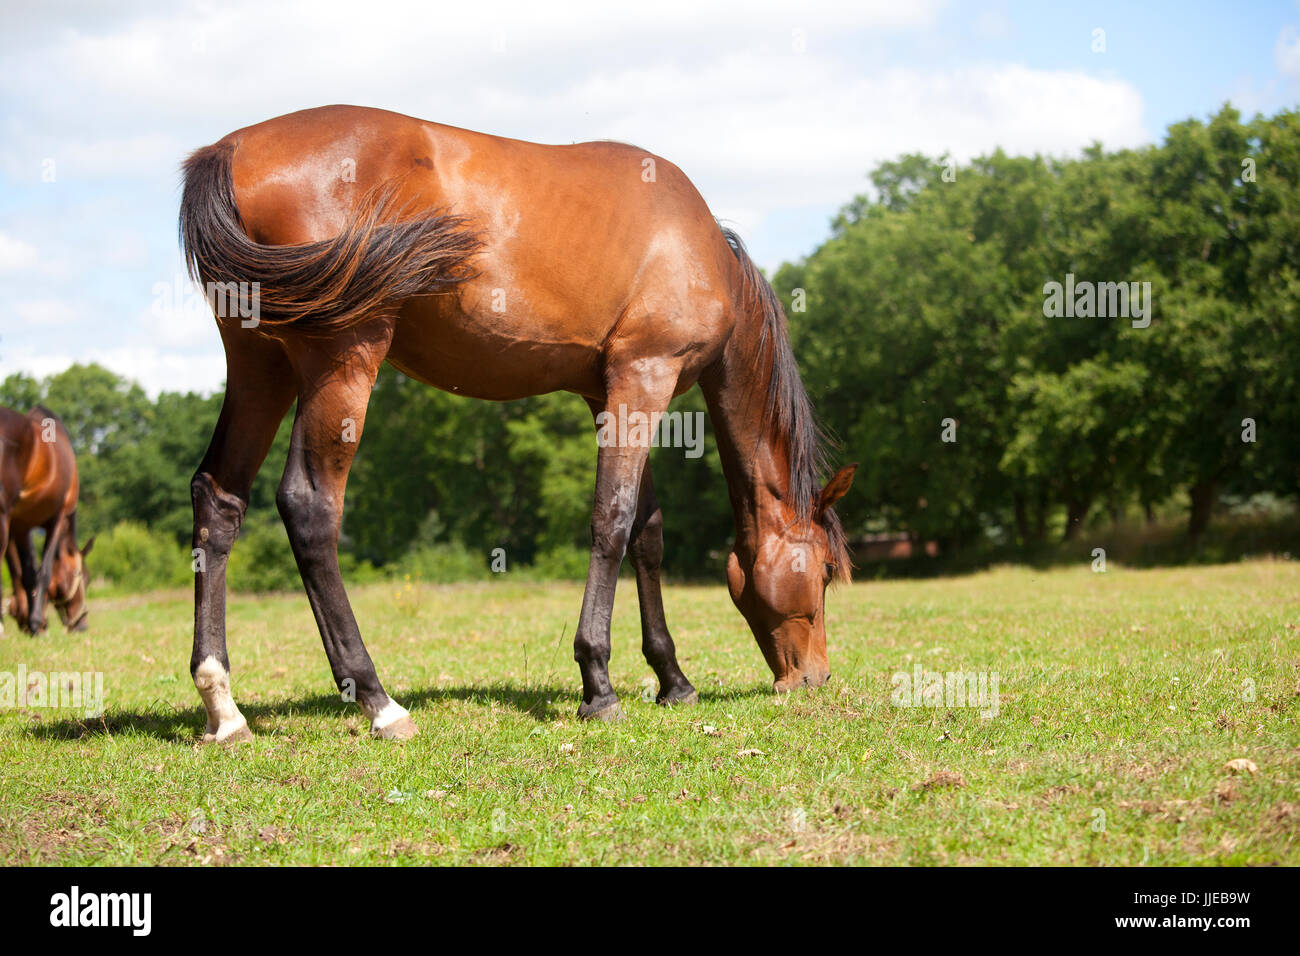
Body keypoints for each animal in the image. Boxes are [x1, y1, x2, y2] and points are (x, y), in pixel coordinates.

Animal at [0, 405, 93, 635]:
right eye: (85, 578)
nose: (82, 625)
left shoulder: (21, 525)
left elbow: (27, 574)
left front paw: (34, 623)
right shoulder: (59, 517)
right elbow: (44, 570)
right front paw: (35, 622)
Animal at [179, 105, 855, 743]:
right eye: (825, 571)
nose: (814, 677)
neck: (699, 248)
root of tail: (231, 149)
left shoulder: (611, 391)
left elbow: (647, 532)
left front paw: (673, 680)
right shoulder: (646, 375)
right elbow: (611, 522)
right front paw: (598, 684)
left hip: (262, 368)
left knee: (219, 499)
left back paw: (223, 707)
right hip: (341, 360)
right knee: (309, 508)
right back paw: (378, 700)